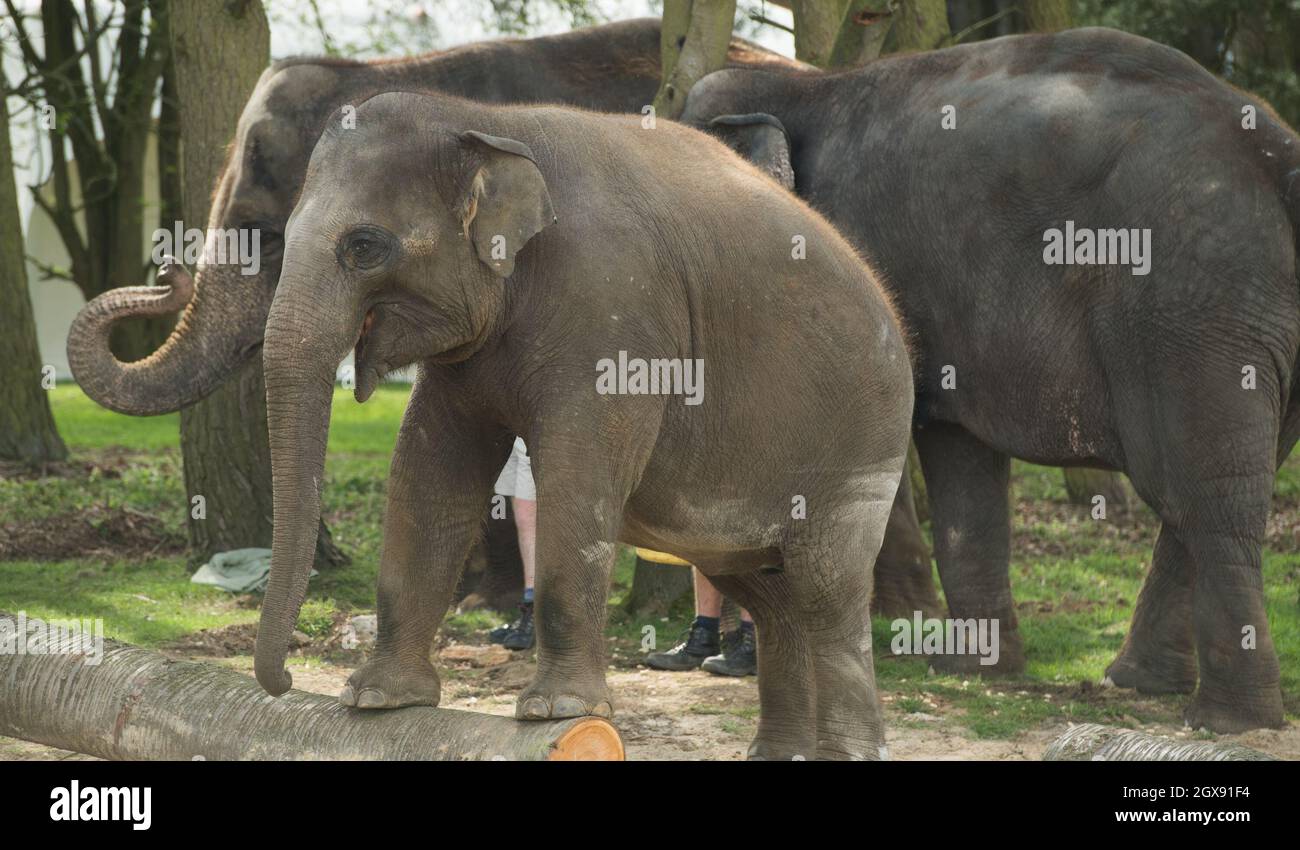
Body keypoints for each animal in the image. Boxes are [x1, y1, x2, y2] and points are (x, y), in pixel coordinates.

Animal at [63, 17, 939, 620]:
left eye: (264, 234)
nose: (164, 276)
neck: (396, 75)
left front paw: (479, 602)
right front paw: (474, 599)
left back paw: (893, 616)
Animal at [253, 90, 914, 760]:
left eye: (364, 245)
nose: (284, 682)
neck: (489, 121)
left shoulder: (613, 310)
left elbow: (577, 481)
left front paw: (557, 710)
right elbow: (429, 477)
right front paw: (377, 698)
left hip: (863, 442)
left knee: (826, 591)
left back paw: (846, 752)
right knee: (768, 594)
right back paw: (779, 753)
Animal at [681, 26, 1300, 732]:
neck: (801, 85)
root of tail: (1279, 156)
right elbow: (958, 448)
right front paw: (973, 670)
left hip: (1190, 310)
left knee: (1207, 497)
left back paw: (1226, 720)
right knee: (1202, 492)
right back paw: (1140, 684)